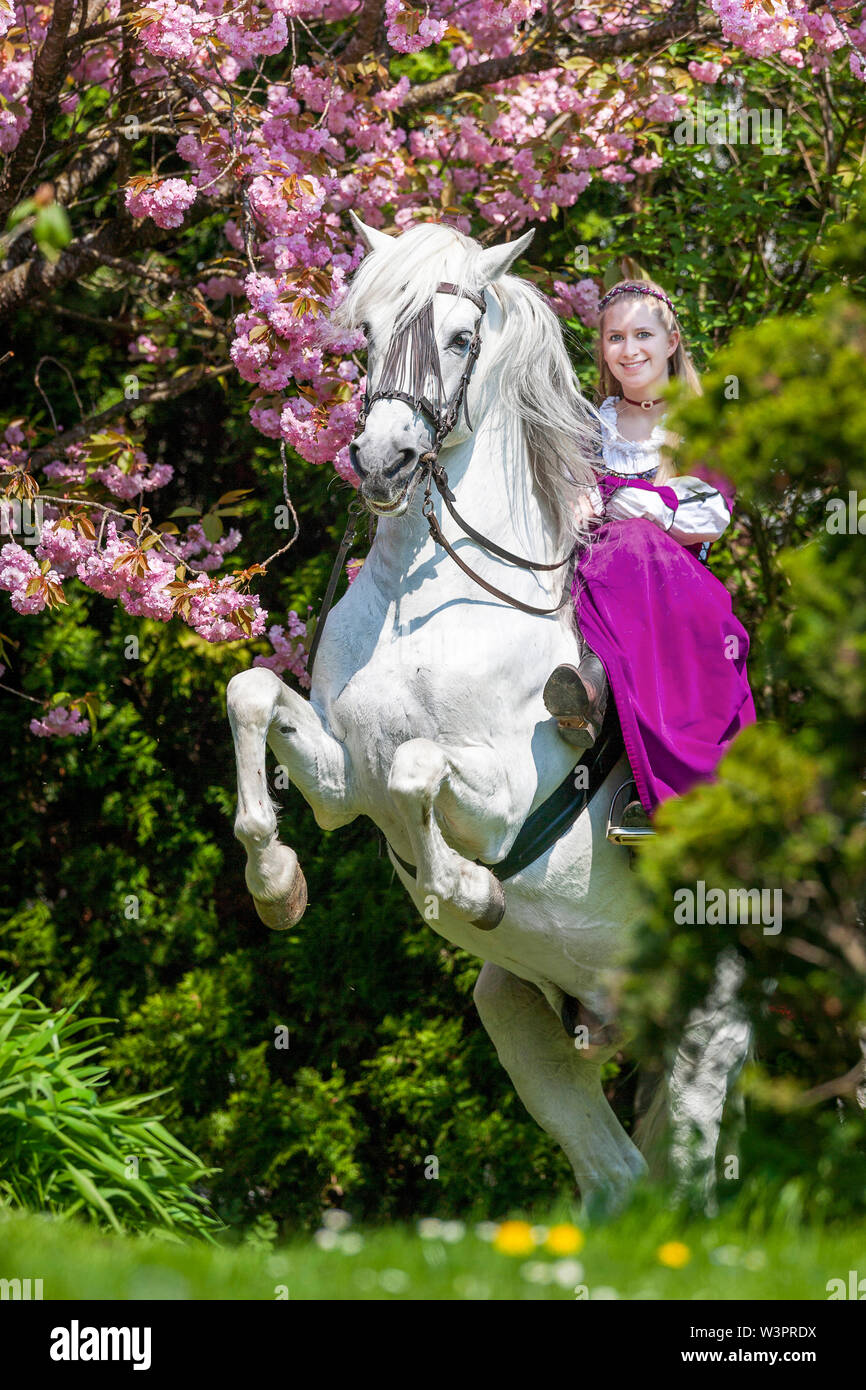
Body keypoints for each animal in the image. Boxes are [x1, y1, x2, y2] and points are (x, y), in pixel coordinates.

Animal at [226, 215, 749, 1211]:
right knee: (620, 1176)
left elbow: (417, 769)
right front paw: (276, 884)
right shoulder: (338, 786)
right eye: (368, 335)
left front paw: (468, 891)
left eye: (462, 338)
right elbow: (252, 695)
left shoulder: (500, 794)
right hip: (520, 1014)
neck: (418, 598)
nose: (382, 460)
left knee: (693, 1173)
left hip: (709, 1026)